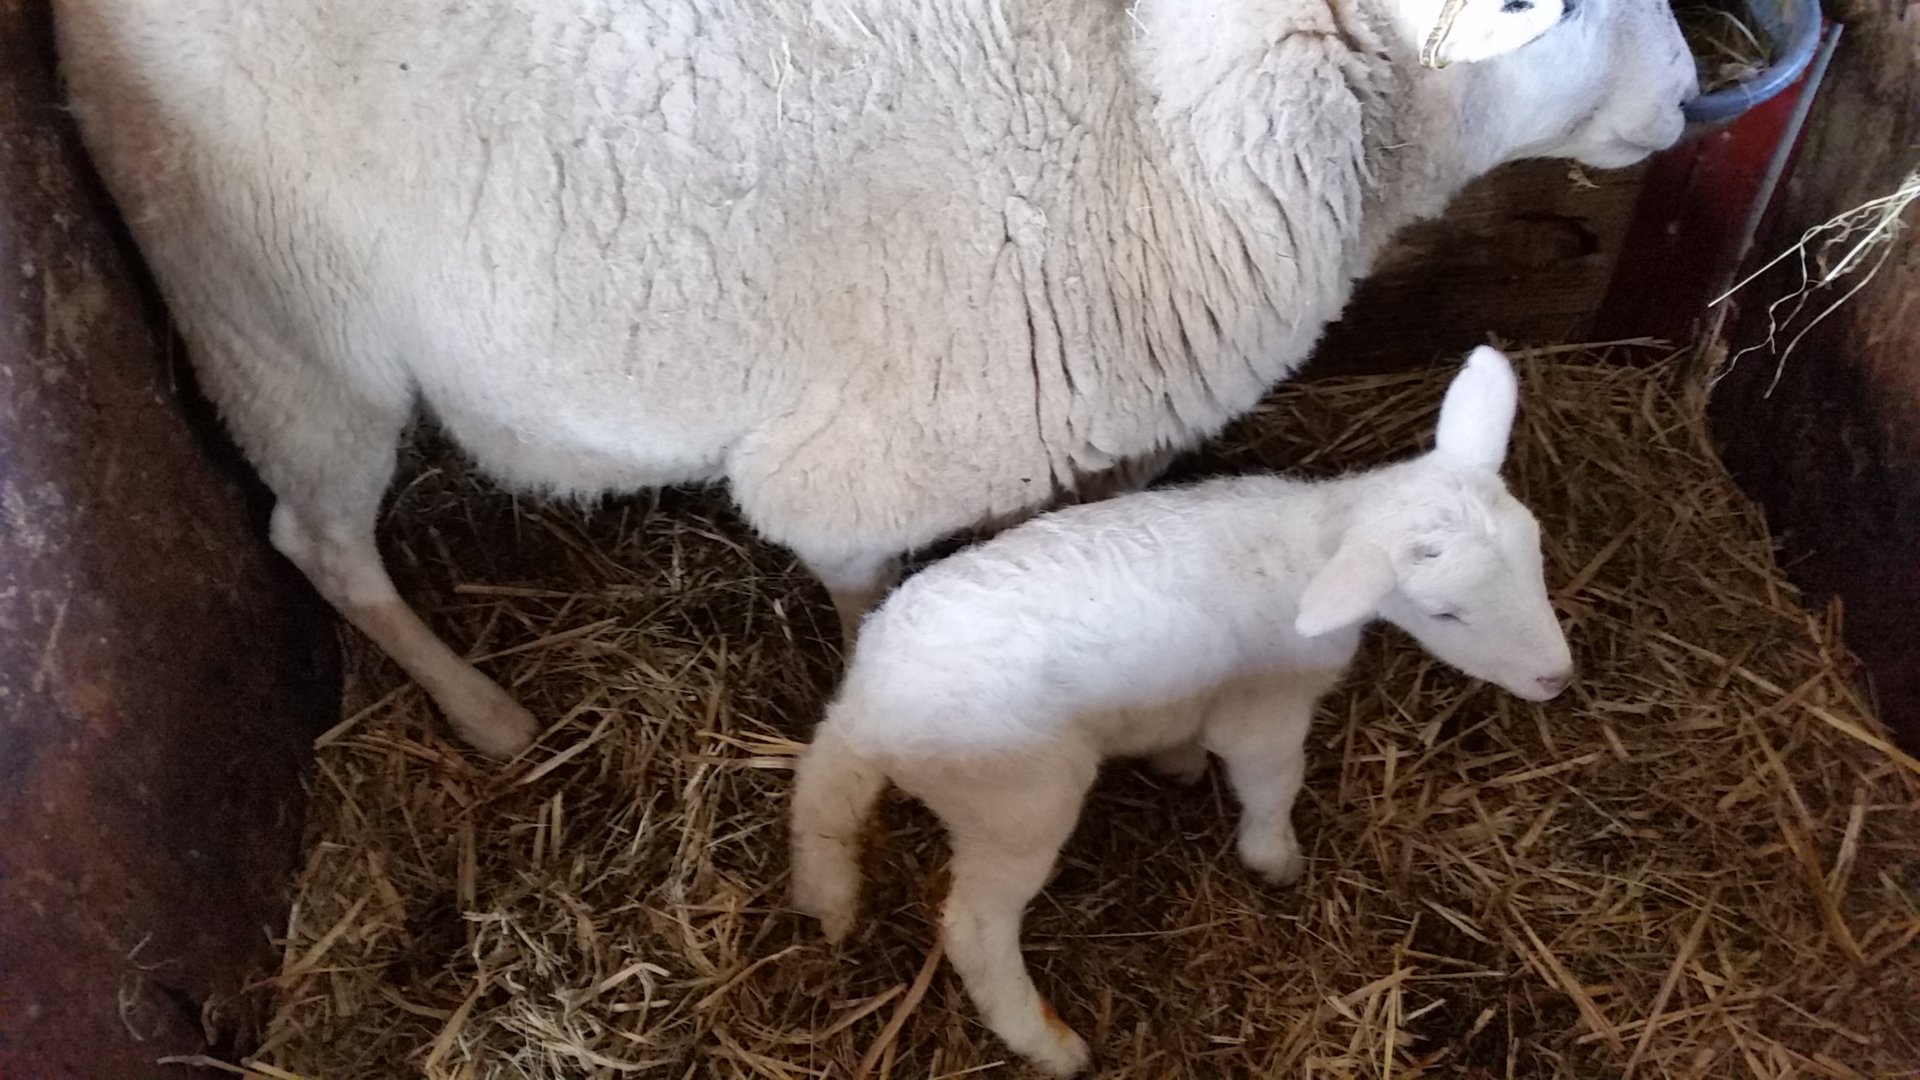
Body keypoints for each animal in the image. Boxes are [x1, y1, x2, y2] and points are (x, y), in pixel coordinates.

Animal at [51, 0, 1688, 756]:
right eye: (1567, 11)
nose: (1688, 96)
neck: (1153, 125)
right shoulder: (874, 454)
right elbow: (861, 582)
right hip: (267, 315)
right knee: (316, 537)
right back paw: (487, 714)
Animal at [789, 347, 1572, 1075]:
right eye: (1445, 612)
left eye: (1536, 554)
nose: (1556, 679)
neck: (1308, 543)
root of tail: (876, 709)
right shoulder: (1266, 709)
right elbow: (1269, 784)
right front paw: (1275, 860)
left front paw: (1180, 764)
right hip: (1018, 803)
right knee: (974, 926)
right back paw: (1048, 1043)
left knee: (817, 805)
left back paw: (826, 901)